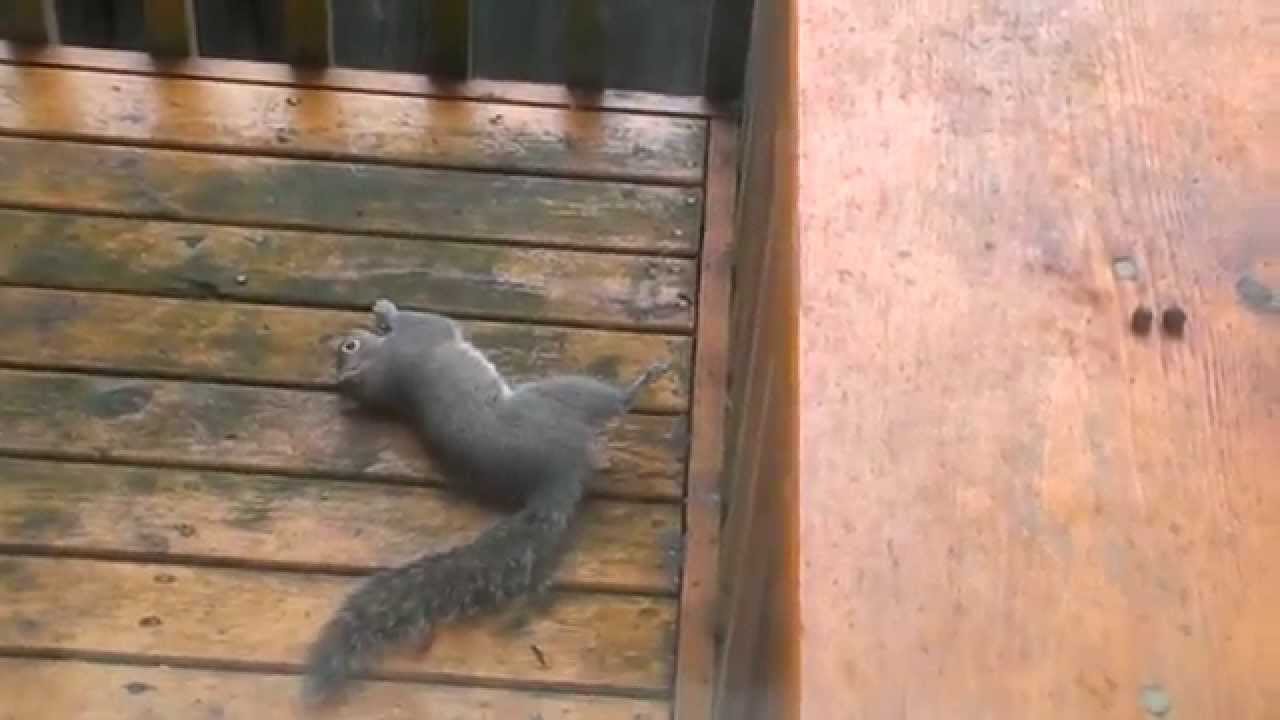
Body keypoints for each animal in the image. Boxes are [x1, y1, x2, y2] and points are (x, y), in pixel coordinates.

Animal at [301, 299, 669, 706]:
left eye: (346, 348)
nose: (346, 336)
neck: (384, 374)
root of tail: (557, 475)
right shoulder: (421, 334)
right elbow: (431, 321)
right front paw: (386, 310)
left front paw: (381, 313)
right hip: (557, 402)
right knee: (605, 401)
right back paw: (636, 388)